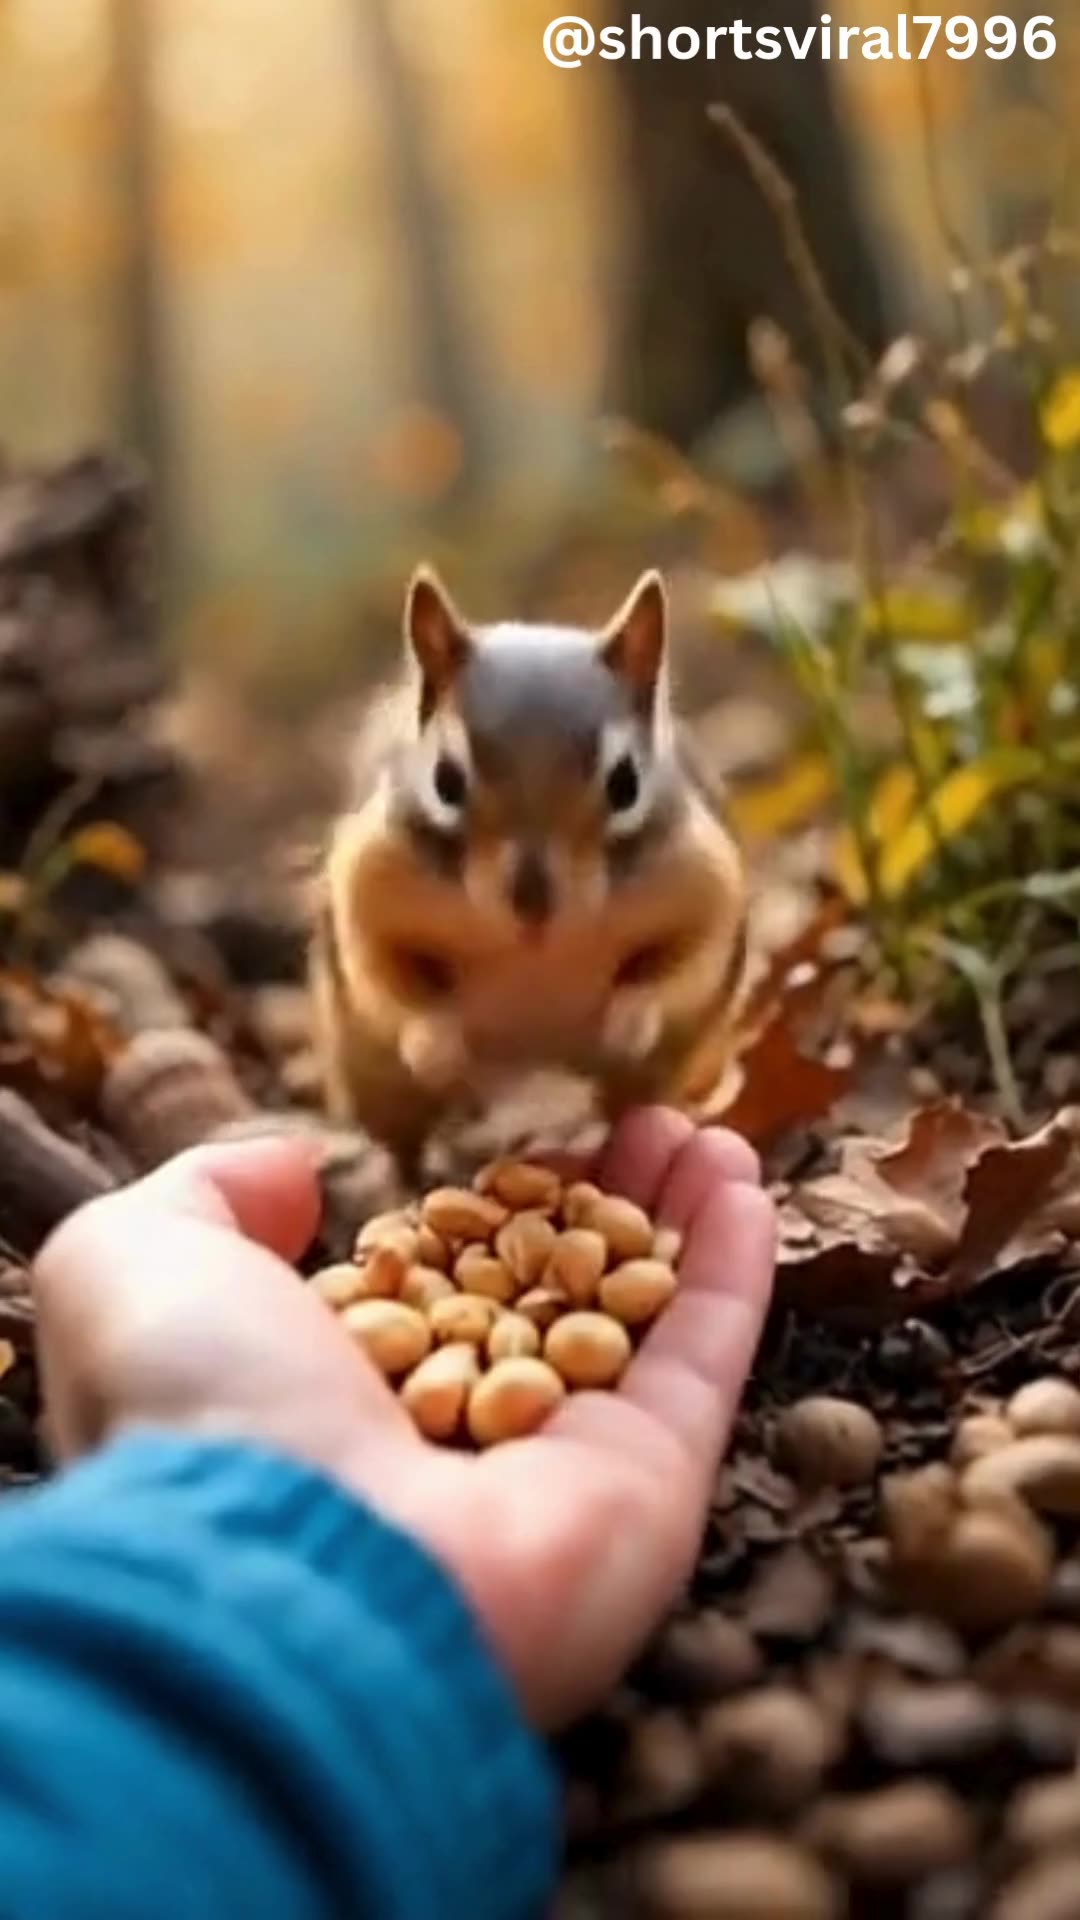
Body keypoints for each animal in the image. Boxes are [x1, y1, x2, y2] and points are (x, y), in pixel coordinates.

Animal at [310, 565, 748, 1178]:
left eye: (626, 784)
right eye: (445, 781)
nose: (534, 906)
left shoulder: (705, 883)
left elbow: (683, 965)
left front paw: (630, 1020)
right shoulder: (369, 887)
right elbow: (388, 979)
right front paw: (436, 1043)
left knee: (628, 1111)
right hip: (375, 1082)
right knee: (403, 1145)